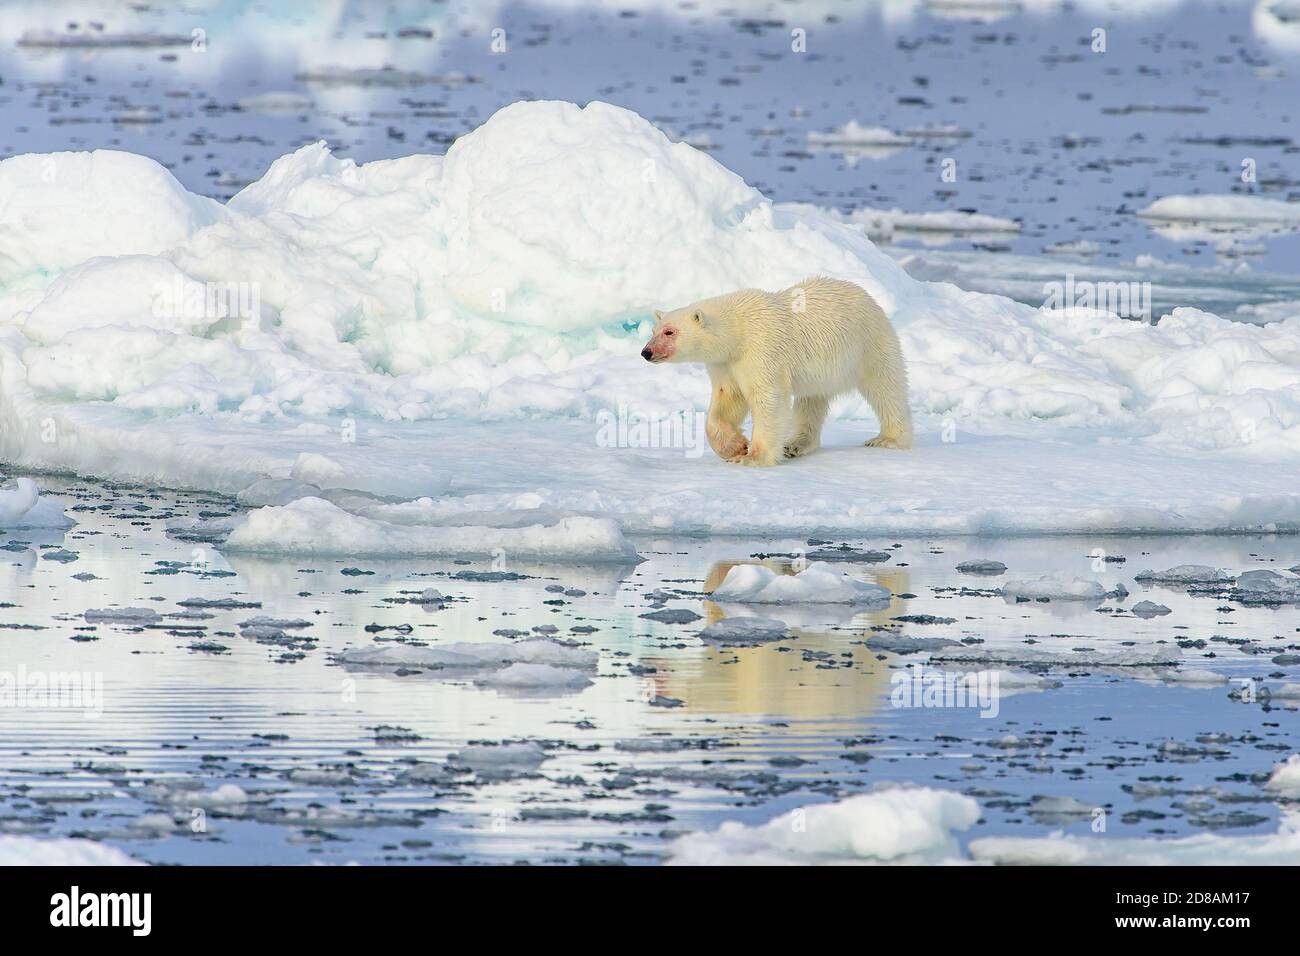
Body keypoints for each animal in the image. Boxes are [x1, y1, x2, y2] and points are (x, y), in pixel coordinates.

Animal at [641, 276, 912, 466]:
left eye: (670, 331)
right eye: (654, 330)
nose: (646, 352)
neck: (738, 329)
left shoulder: (762, 348)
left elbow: (767, 397)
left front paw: (751, 457)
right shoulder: (725, 362)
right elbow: (728, 397)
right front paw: (734, 446)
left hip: (868, 344)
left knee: (886, 387)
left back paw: (889, 439)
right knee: (811, 401)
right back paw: (795, 445)